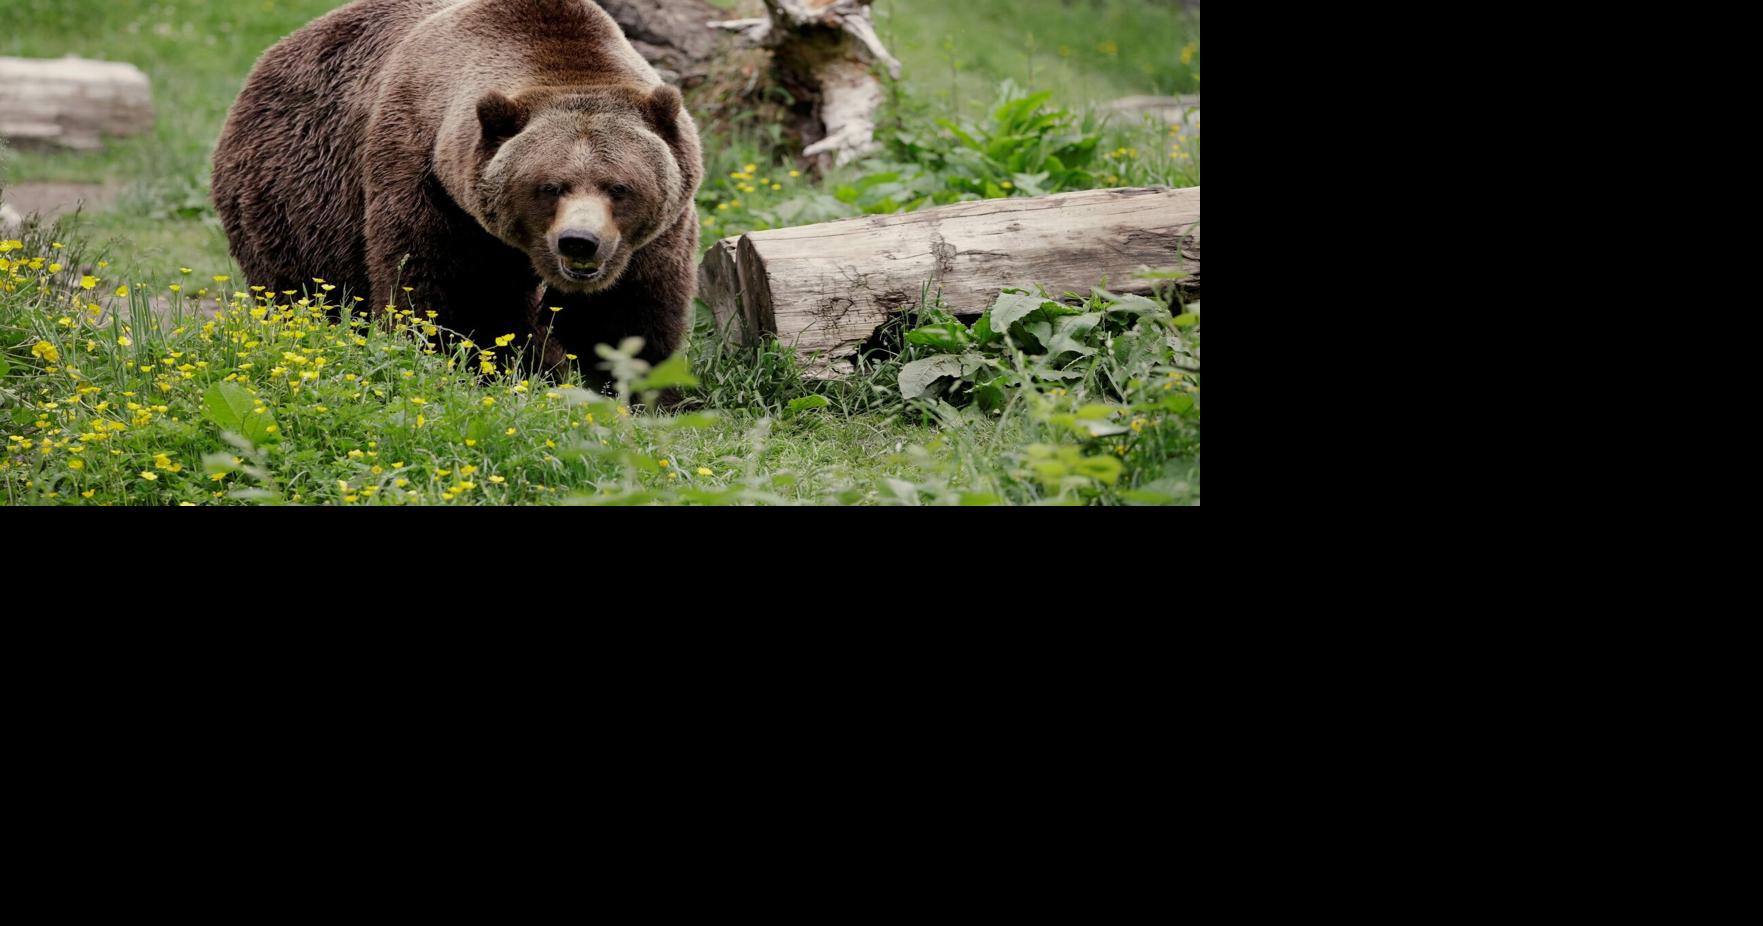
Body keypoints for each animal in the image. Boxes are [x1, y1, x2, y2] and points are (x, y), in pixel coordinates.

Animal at [211, 0, 703, 385]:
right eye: (549, 186)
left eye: (619, 187)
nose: (579, 242)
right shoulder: (429, 185)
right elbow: (452, 296)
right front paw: (491, 366)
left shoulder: (656, 233)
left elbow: (628, 312)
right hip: (295, 193)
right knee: (302, 288)